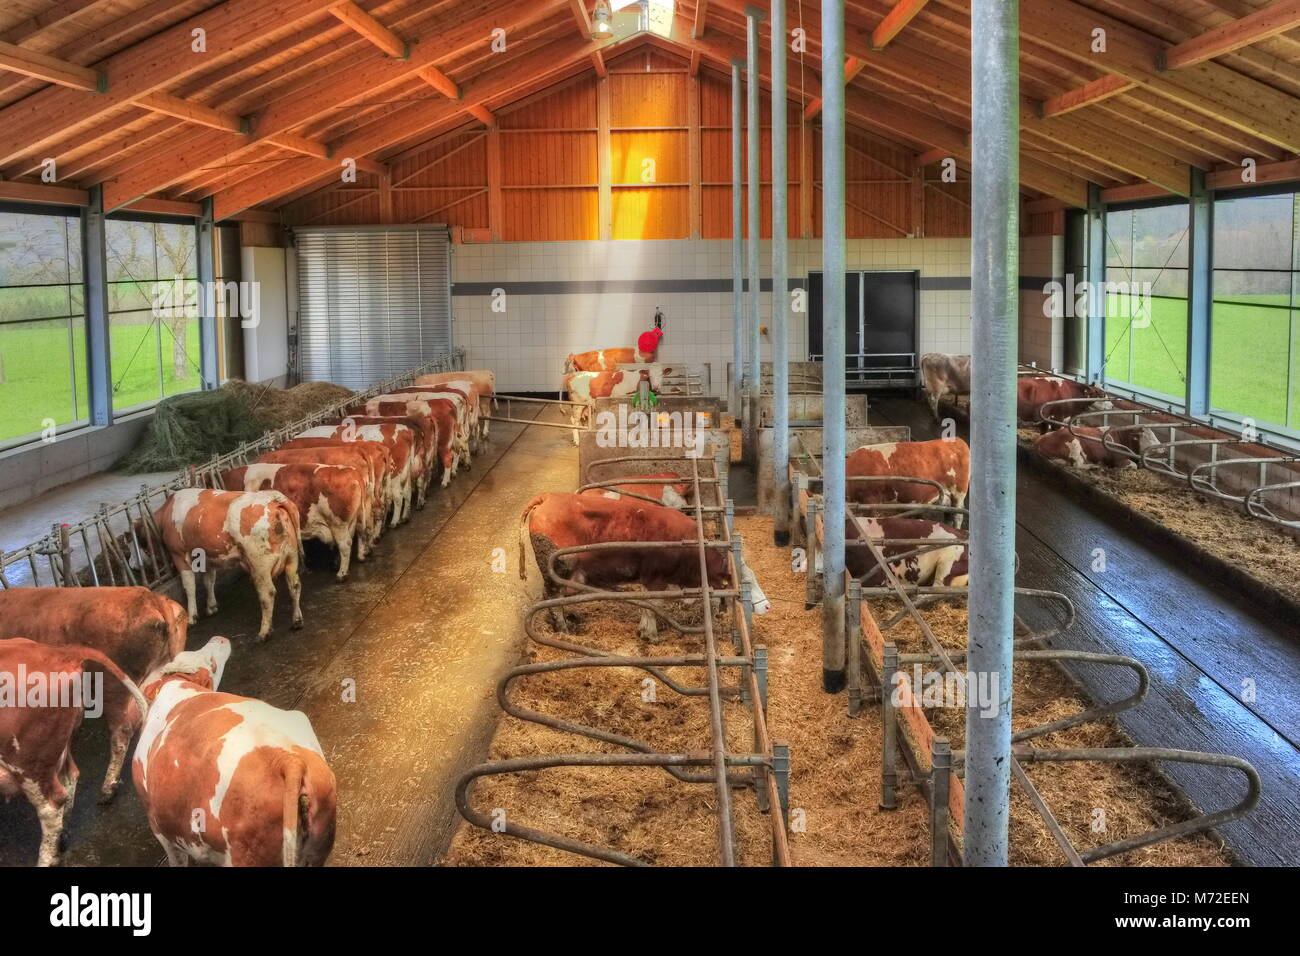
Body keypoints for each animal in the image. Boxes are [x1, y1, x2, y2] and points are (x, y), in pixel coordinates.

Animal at [0, 638, 148, 865]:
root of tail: (61, 652)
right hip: (57, 748)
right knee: (70, 778)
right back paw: (62, 838)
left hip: (27, 761)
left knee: (52, 805)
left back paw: (47, 857)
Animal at [132, 488, 303, 642]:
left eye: (135, 544)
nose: (134, 566)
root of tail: (273, 499)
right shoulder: (207, 557)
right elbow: (209, 581)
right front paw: (211, 606)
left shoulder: (179, 555)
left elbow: (189, 586)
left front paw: (192, 617)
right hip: (291, 557)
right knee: (294, 586)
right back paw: (296, 621)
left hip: (259, 564)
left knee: (267, 594)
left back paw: (264, 633)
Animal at [133, 637, 337, 867]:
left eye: (211, 663)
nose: (219, 638)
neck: (175, 687)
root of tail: (286, 759)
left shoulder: (160, 830)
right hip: (318, 843)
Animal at [222, 463, 370, 580]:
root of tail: (351, 471)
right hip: (355, 517)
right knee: (359, 532)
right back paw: (359, 557)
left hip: (338, 523)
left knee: (345, 544)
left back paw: (341, 574)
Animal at [519, 492, 729, 642]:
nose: (721, 616)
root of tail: (549, 497)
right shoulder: (655, 578)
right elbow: (653, 605)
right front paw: (651, 636)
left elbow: (645, 604)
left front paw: (642, 630)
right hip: (557, 565)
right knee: (552, 596)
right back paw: (564, 630)